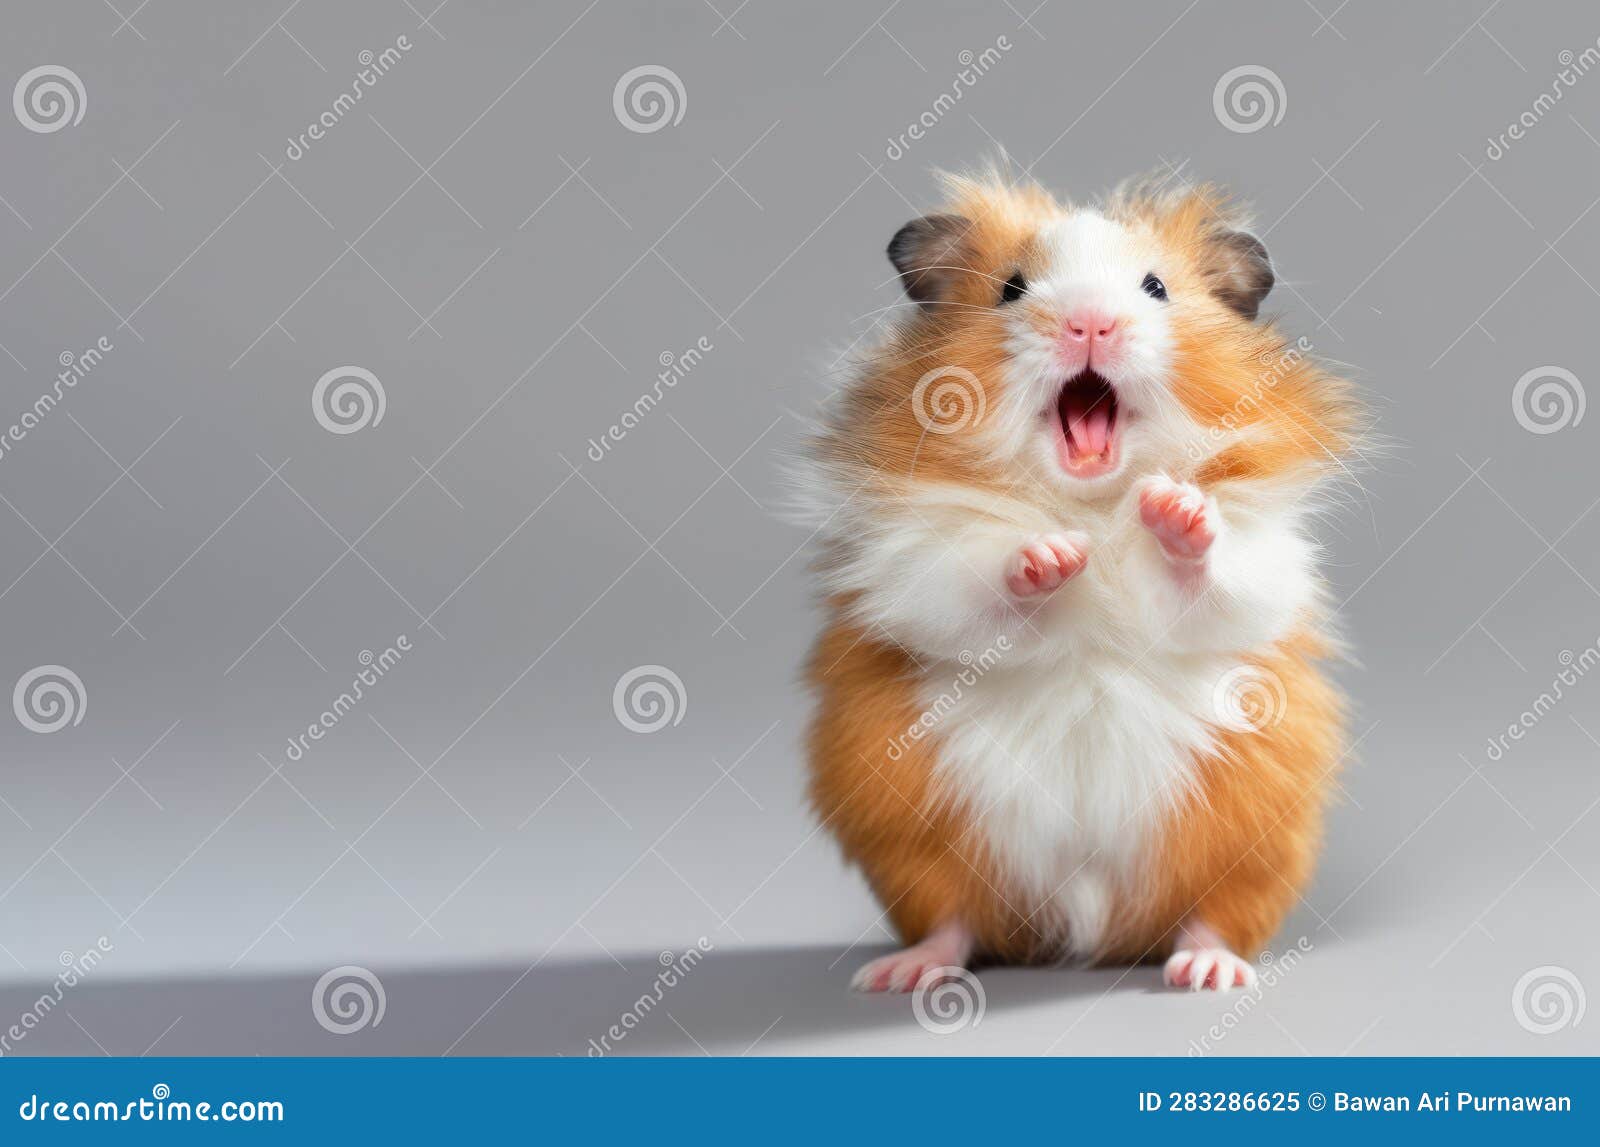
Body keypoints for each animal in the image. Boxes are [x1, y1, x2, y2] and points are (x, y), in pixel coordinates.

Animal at [797, 169, 1360, 992]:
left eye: (1156, 287)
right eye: (1011, 288)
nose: (1090, 323)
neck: (1090, 499)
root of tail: (1087, 924)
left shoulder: (1260, 560)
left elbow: (1212, 574)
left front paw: (1174, 508)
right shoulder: (919, 565)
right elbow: (984, 583)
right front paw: (1053, 557)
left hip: (1254, 841)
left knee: (1215, 916)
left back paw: (1207, 971)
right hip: (915, 848)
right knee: (954, 921)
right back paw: (901, 974)